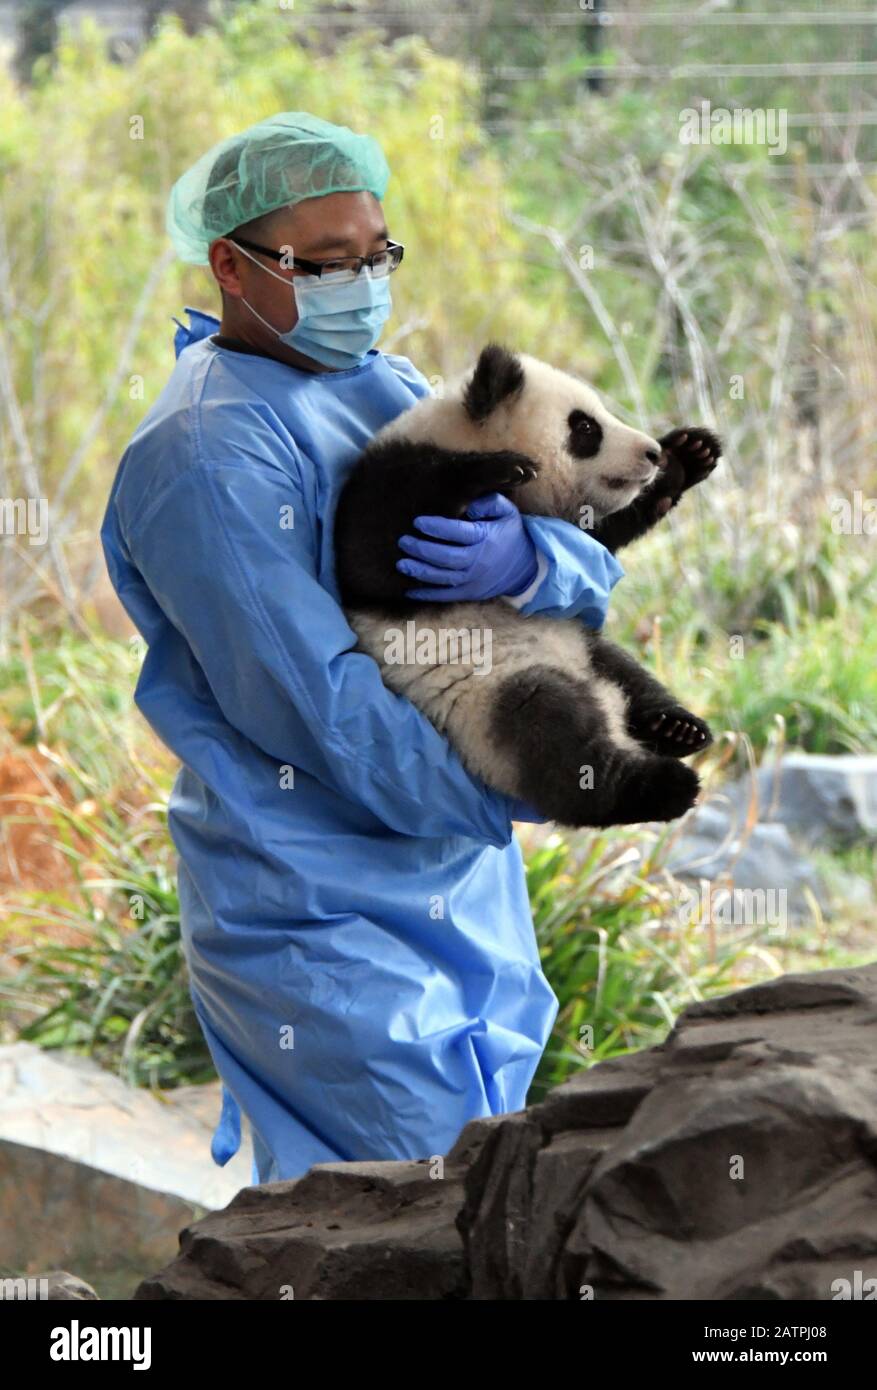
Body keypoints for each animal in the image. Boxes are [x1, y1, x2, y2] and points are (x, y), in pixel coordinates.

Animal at [334, 343, 722, 829]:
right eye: (585, 427)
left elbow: (596, 537)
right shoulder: (386, 477)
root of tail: (608, 708)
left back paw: (676, 727)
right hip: (489, 699)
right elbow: (370, 553)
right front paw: (497, 469)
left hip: (582, 642)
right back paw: (663, 785)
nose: (650, 453)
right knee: (558, 743)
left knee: (630, 676)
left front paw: (687, 457)